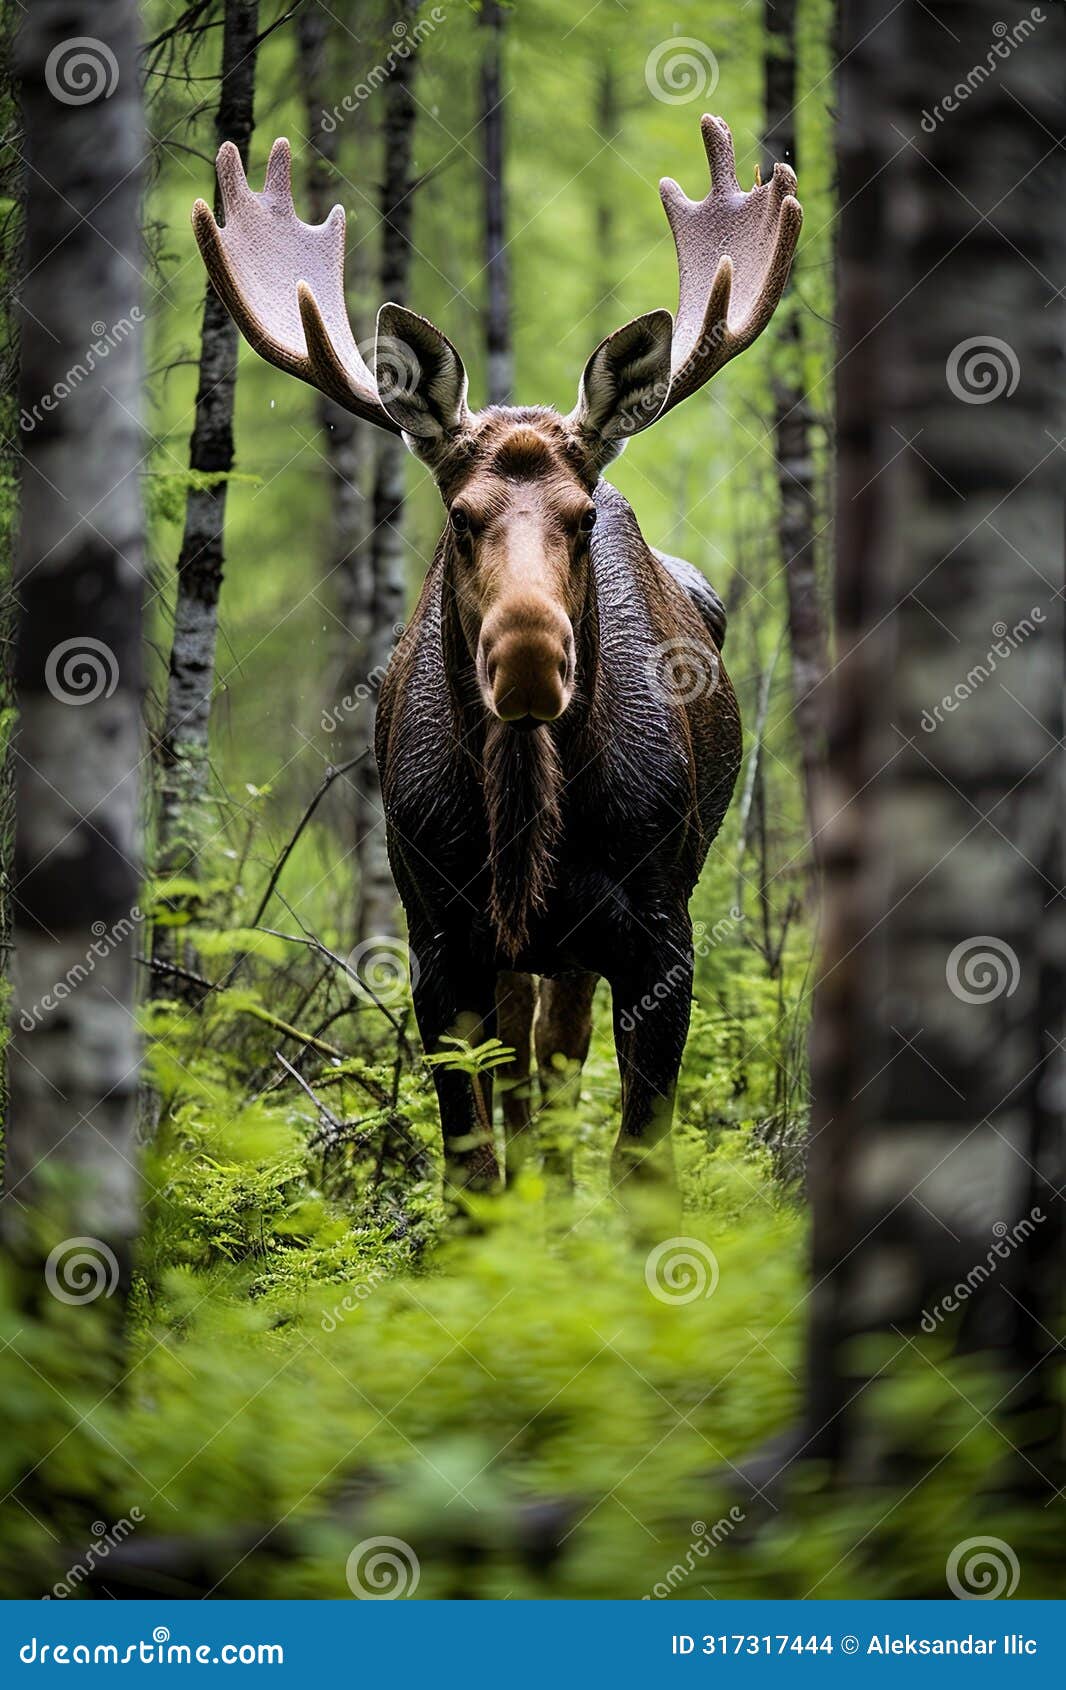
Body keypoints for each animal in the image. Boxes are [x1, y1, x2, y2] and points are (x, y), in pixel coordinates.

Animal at [193, 114, 801, 1202]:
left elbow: (638, 1162)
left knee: (555, 1059)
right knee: (525, 1065)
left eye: (581, 515)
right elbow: (471, 1163)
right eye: (462, 517)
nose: (527, 659)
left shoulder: (662, 935)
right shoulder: (437, 942)